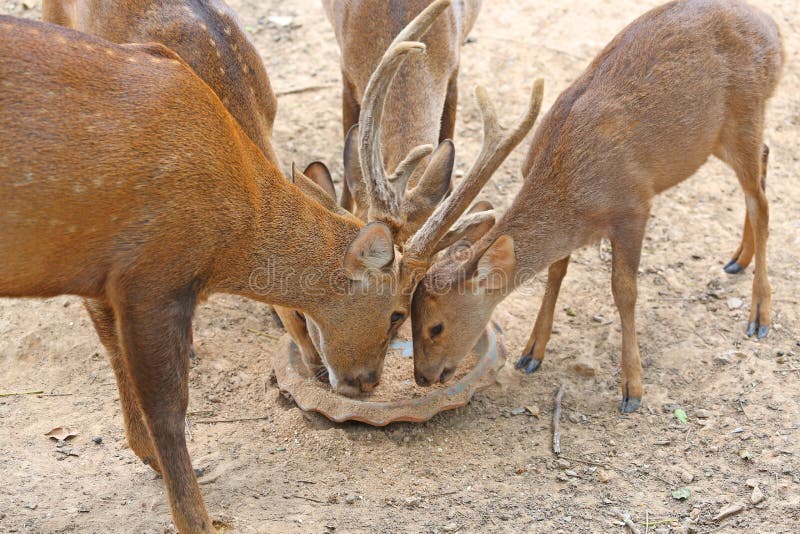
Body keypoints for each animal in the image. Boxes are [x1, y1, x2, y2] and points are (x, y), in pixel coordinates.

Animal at [0, 2, 541, 530]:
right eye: (396, 313)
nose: (366, 383)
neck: (228, 233)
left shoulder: (100, 269)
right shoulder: (148, 272)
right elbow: (168, 410)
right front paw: (195, 514)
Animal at [411, 0, 784, 414]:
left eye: (435, 326)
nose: (422, 376)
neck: (572, 195)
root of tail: (775, 32)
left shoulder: (634, 206)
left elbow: (624, 290)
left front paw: (632, 389)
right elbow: (556, 272)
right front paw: (531, 353)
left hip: (746, 114)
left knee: (762, 202)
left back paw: (759, 316)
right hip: (717, 139)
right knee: (764, 164)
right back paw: (737, 259)